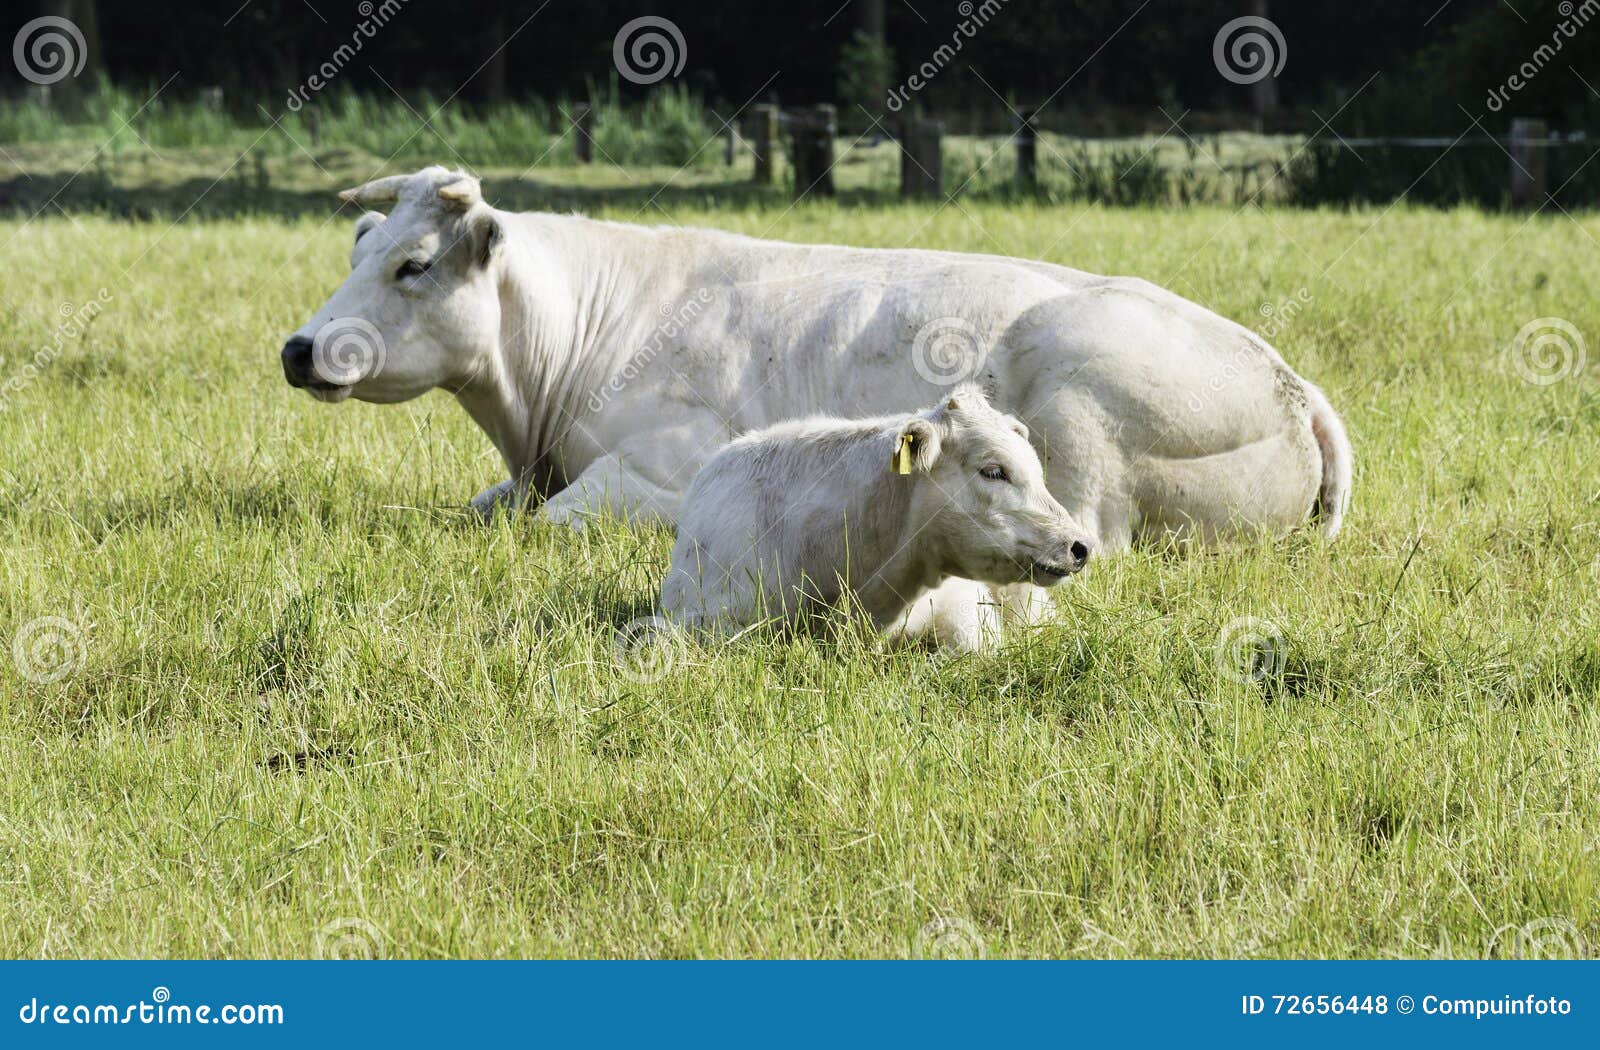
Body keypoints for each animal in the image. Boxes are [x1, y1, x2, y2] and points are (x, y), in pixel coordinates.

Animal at [281, 166, 1352, 558]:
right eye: (360, 246)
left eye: (414, 264)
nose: (297, 349)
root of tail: (1292, 384)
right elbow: (488, 507)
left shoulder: (659, 467)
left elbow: (562, 517)